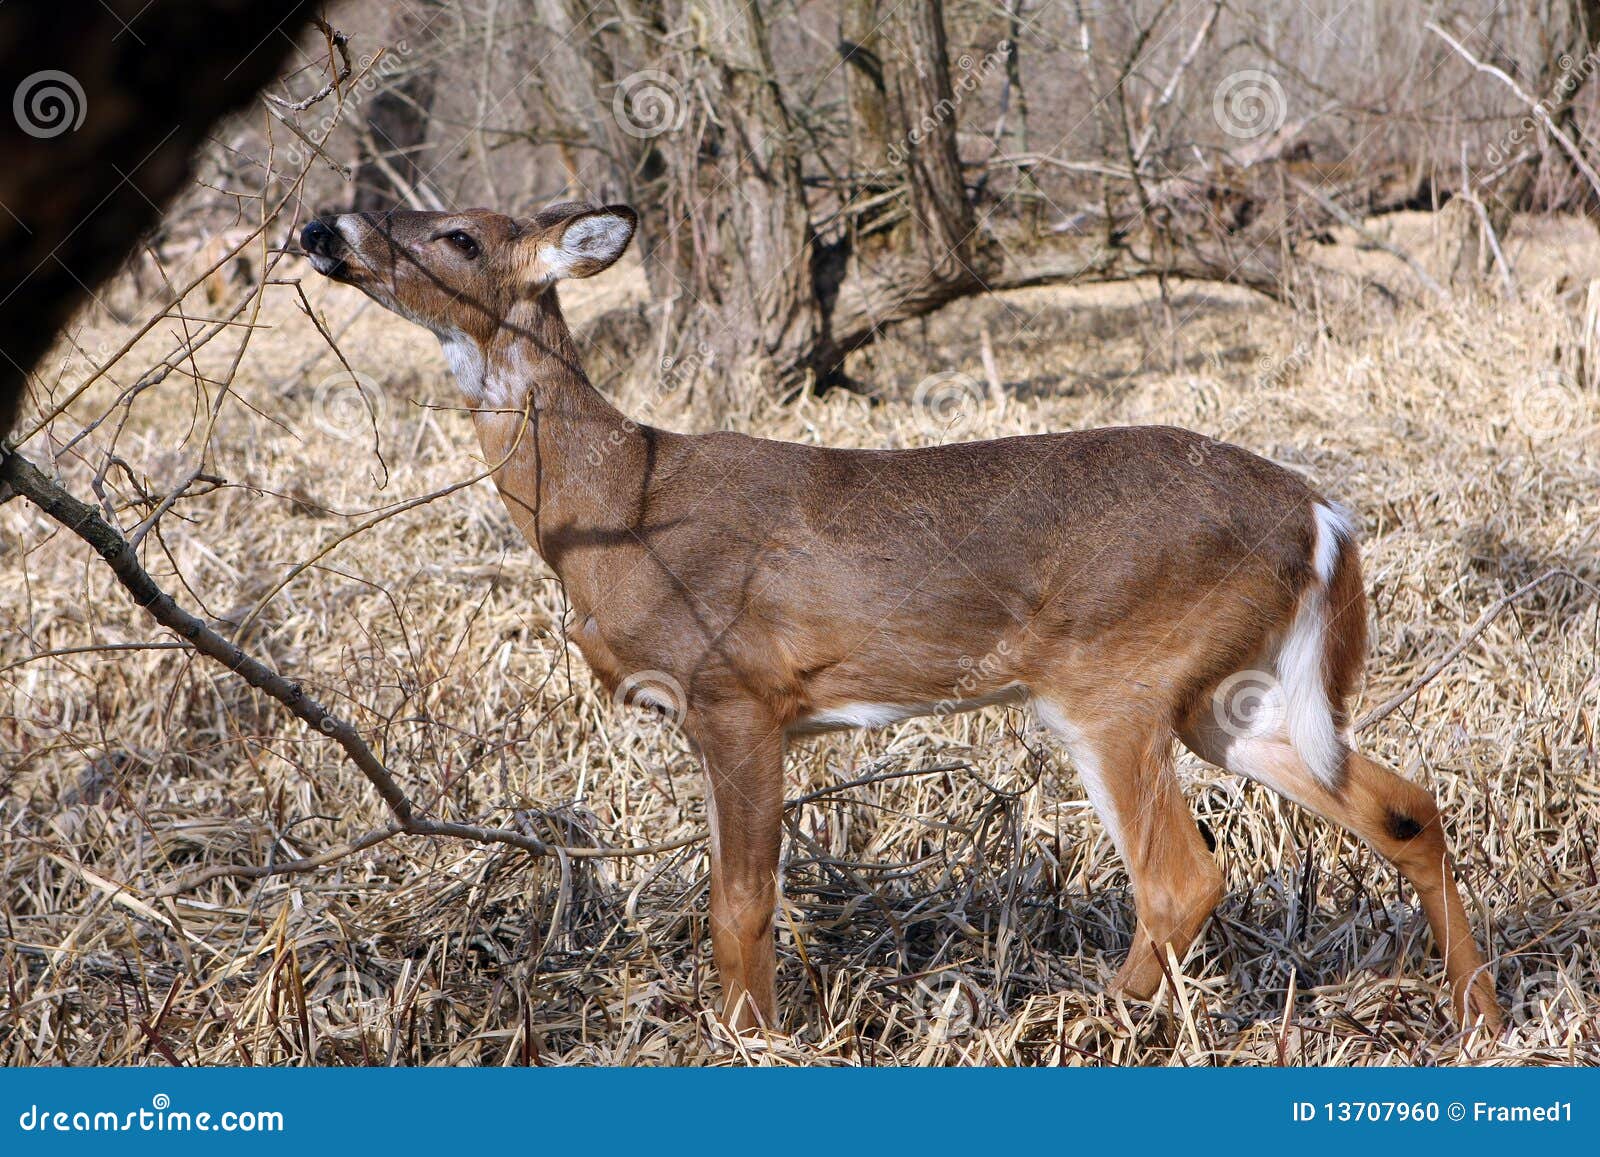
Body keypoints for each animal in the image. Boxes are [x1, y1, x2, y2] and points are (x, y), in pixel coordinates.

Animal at [299, 201, 1504, 1035]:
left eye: (458, 233)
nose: (323, 226)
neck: (615, 506)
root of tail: (1320, 510)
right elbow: (729, 899)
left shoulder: (738, 692)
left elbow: (741, 903)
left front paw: (753, 1039)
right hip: (1227, 693)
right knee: (1403, 806)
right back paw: (1479, 1018)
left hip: (1110, 676)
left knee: (1182, 873)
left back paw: (1083, 1022)